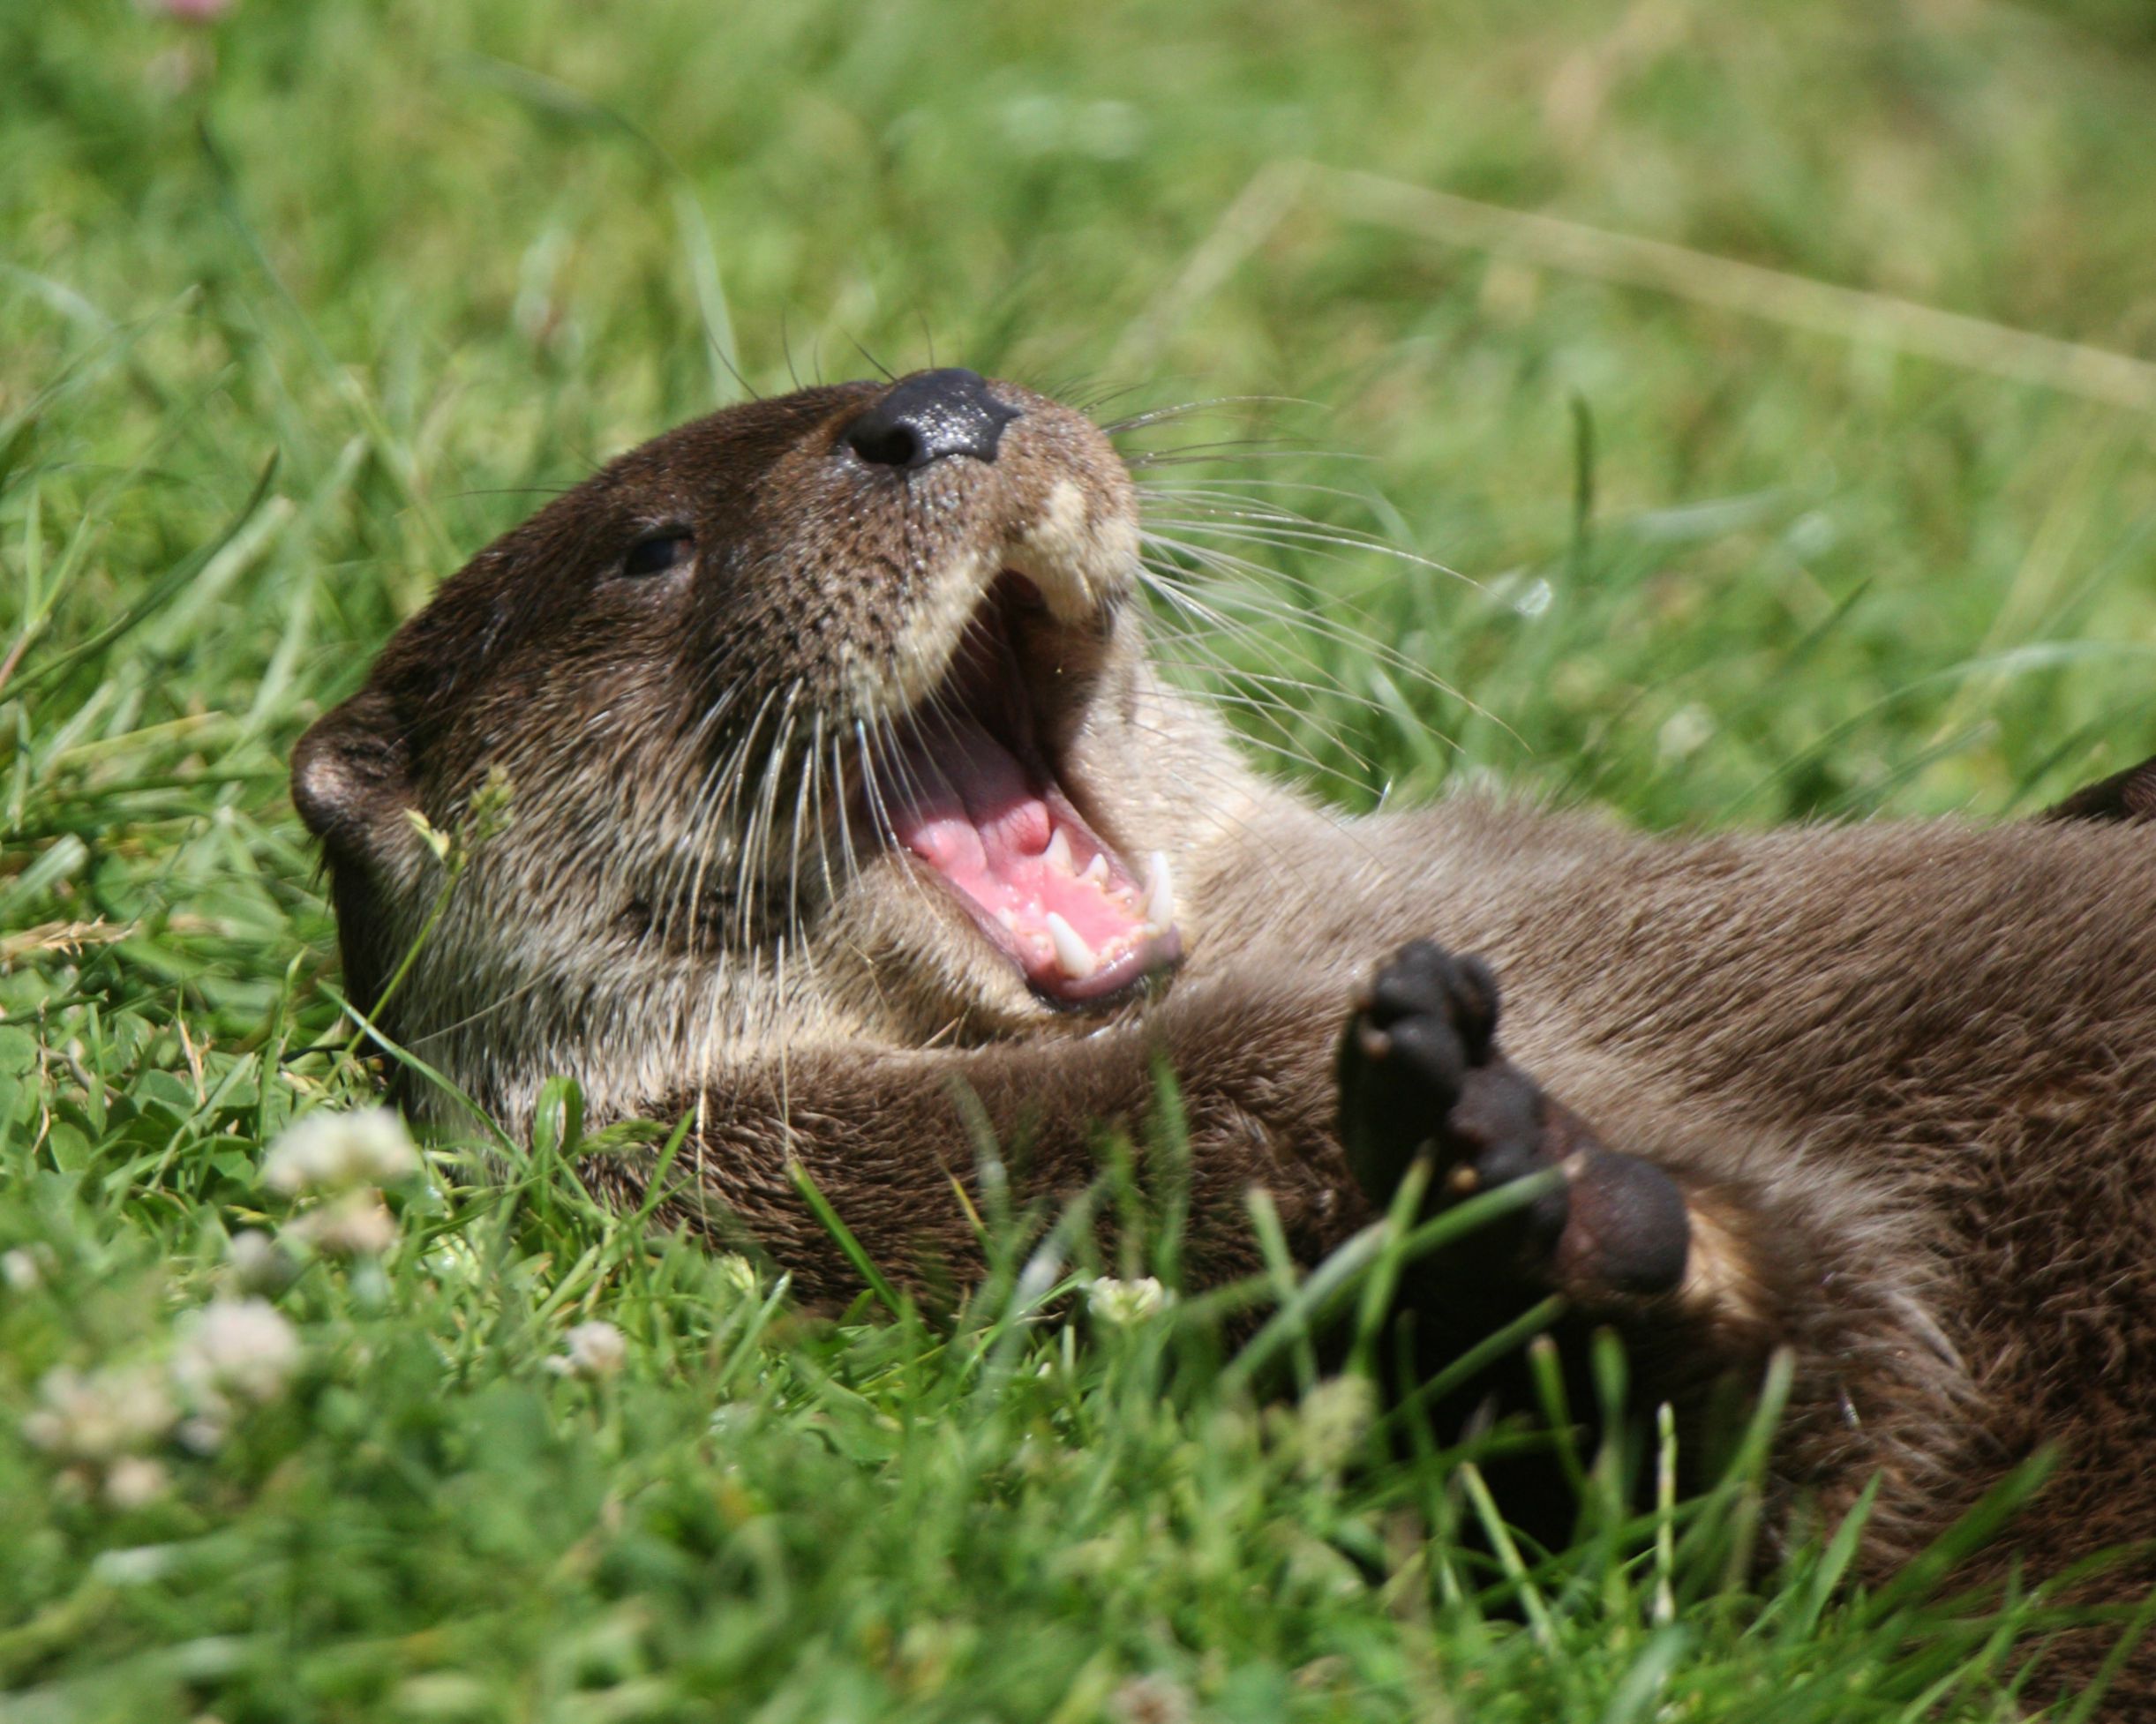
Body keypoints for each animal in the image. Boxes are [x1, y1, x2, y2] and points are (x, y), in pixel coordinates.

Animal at [293, 369, 2156, 1703]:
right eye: (650, 548)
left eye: (906, 373)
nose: (940, 405)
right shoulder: (840, 1168)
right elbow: (1800, 1466)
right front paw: (1500, 1209)